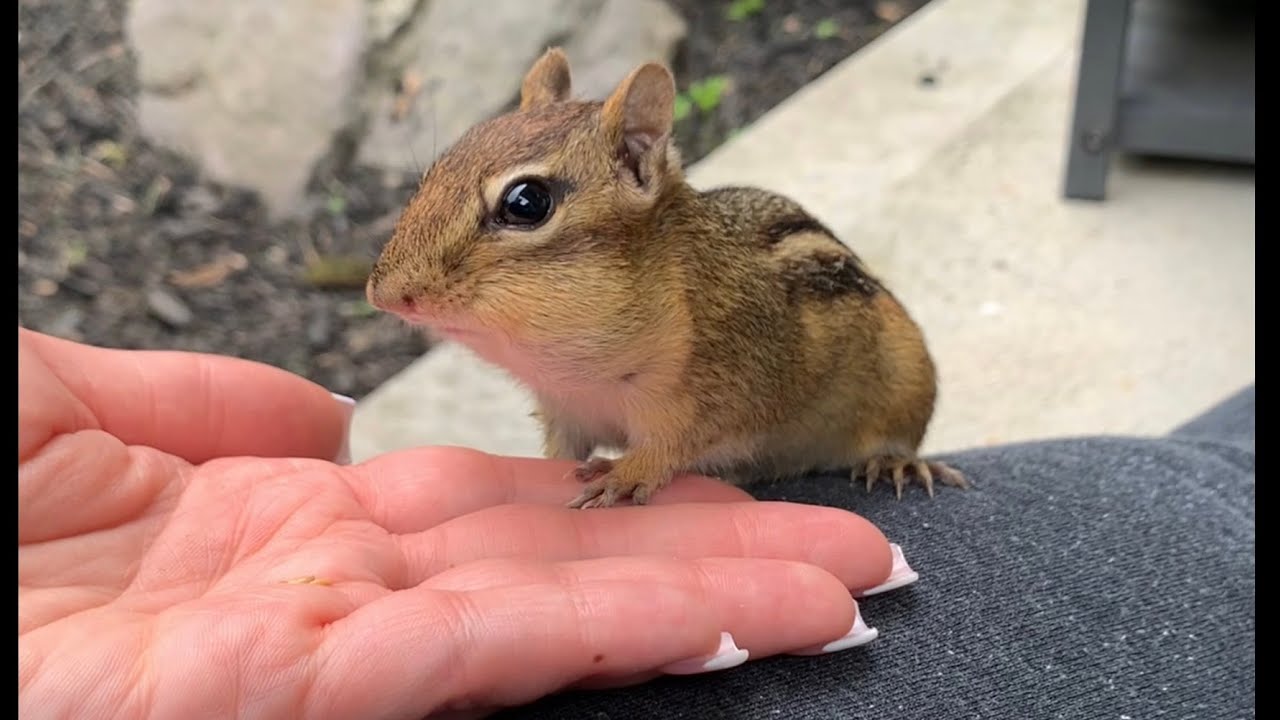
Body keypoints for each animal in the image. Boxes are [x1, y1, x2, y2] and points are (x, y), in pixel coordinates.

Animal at [366, 47, 968, 509]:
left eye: (527, 202)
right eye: (435, 172)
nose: (385, 294)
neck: (574, 368)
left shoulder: (726, 387)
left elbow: (675, 444)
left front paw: (626, 475)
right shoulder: (564, 410)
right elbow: (563, 450)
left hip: (908, 377)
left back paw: (896, 462)